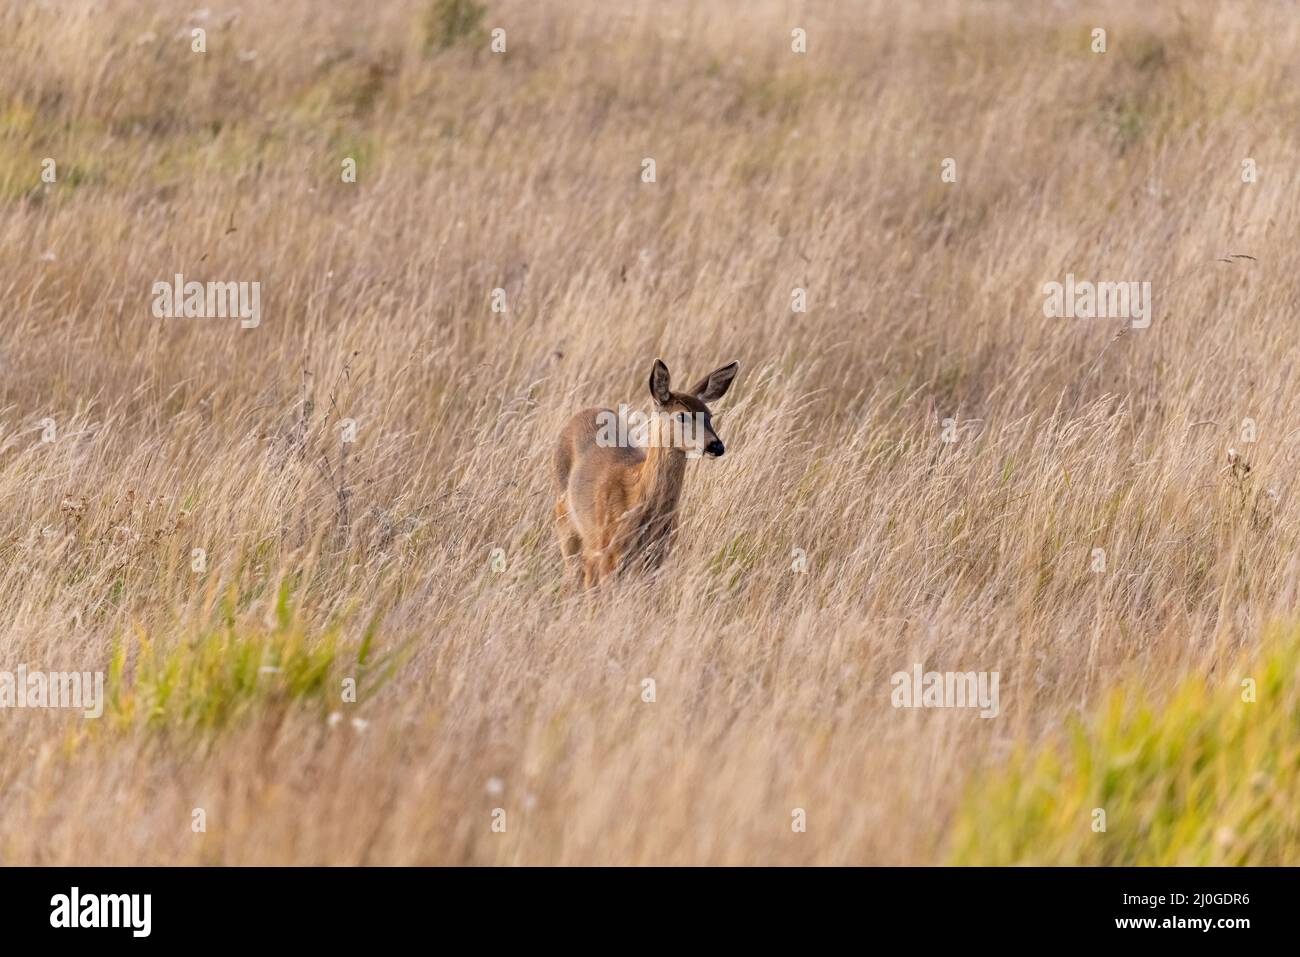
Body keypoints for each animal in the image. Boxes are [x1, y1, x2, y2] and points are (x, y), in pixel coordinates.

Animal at [552, 358, 739, 589]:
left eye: (710, 415)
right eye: (681, 415)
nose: (716, 446)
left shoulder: (658, 555)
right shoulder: (608, 553)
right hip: (566, 524)